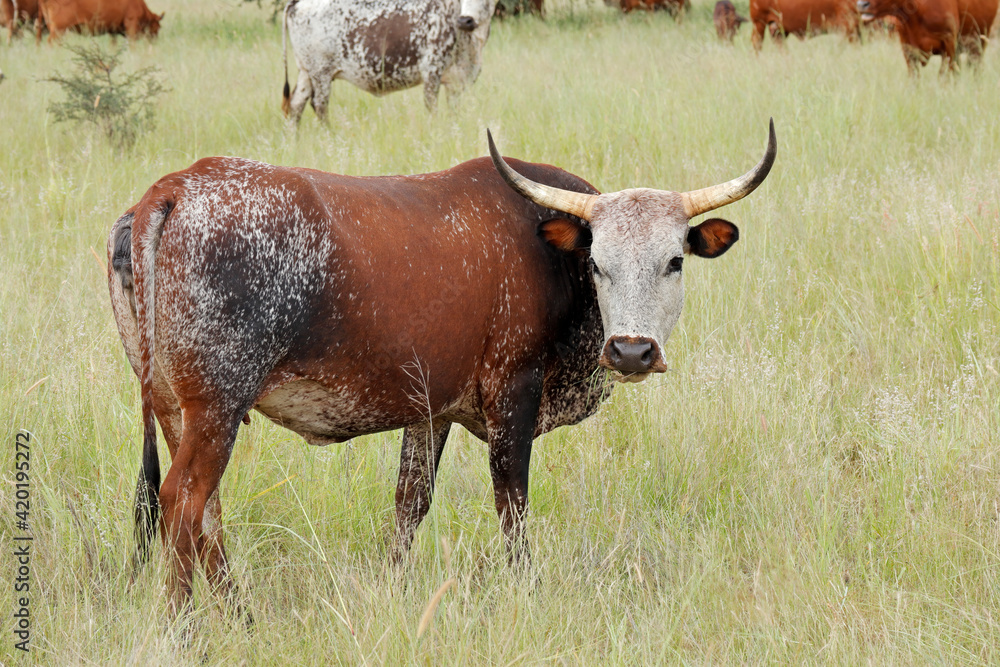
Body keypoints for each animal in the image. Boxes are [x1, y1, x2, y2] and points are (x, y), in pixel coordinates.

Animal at [109, 123, 776, 618]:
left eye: (673, 261)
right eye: (597, 262)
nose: (632, 351)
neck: (549, 255)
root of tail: (172, 188)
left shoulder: (431, 409)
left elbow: (410, 503)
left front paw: (392, 589)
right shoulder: (513, 395)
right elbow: (512, 503)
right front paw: (526, 590)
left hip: (174, 408)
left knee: (205, 515)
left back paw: (240, 616)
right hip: (217, 409)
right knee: (184, 502)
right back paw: (183, 626)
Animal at [282, 0, 498, 126]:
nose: (465, 20)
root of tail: (296, 3)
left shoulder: (456, 82)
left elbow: (454, 112)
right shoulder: (432, 71)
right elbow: (432, 109)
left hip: (306, 72)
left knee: (296, 105)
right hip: (321, 72)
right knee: (319, 105)